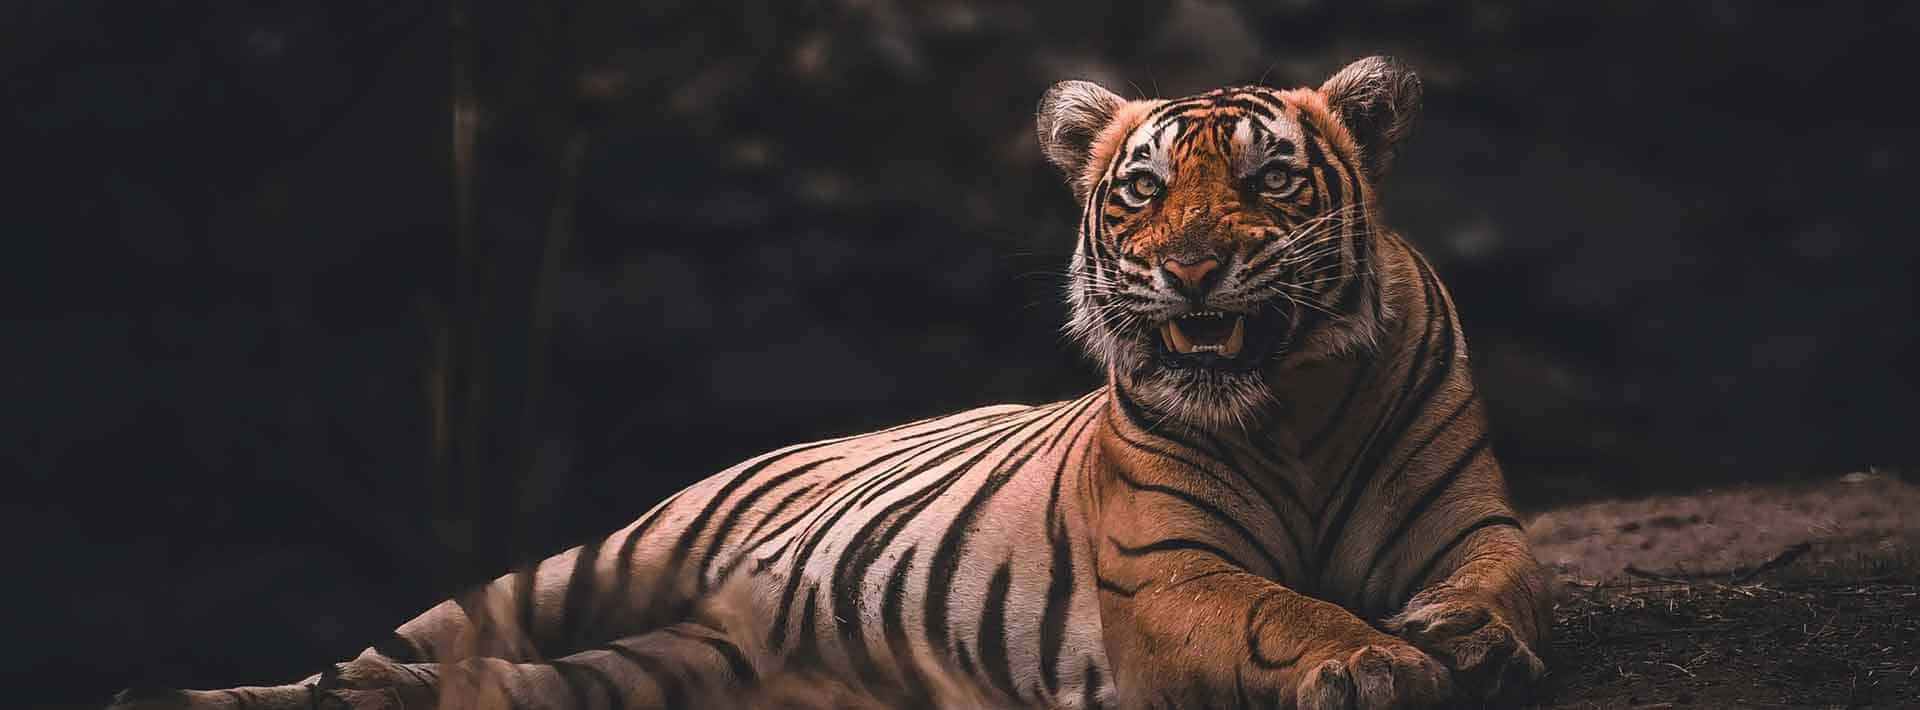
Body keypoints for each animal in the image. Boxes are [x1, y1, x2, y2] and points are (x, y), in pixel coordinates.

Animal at [110, 56, 1549, 710]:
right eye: (1142, 191)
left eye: (1269, 181)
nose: (1189, 268)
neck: (1293, 411)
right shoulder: (1165, 573)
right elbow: (1272, 606)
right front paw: (1374, 659)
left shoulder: (1470, 517)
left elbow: (1501, 575)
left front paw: (1458, 634)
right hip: (594, 560)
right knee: (430, 632)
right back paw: (256, 688)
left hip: (681, 663)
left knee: (515, 685)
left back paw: (384, 696)